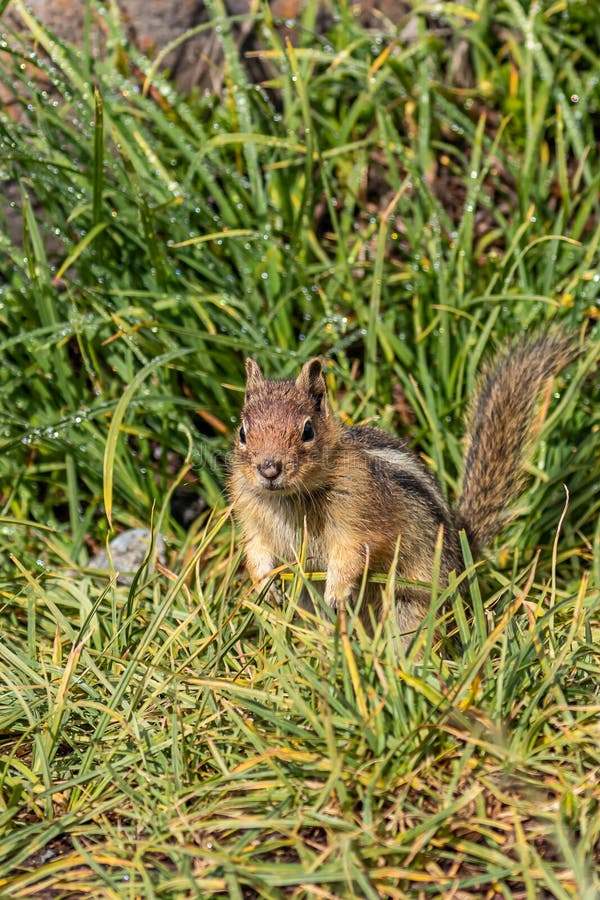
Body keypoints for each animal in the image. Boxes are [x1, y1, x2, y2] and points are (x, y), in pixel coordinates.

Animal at [228, 333, 577, 642]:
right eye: (243, 432)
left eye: (308, 430)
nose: (269, 469)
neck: (291, 497)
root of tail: (464, 552)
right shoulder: (251, 518)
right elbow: (255, 551)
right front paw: (264, 587)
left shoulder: (362, 515)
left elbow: (352, 554)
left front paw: (336, 592)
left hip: (413, 604)